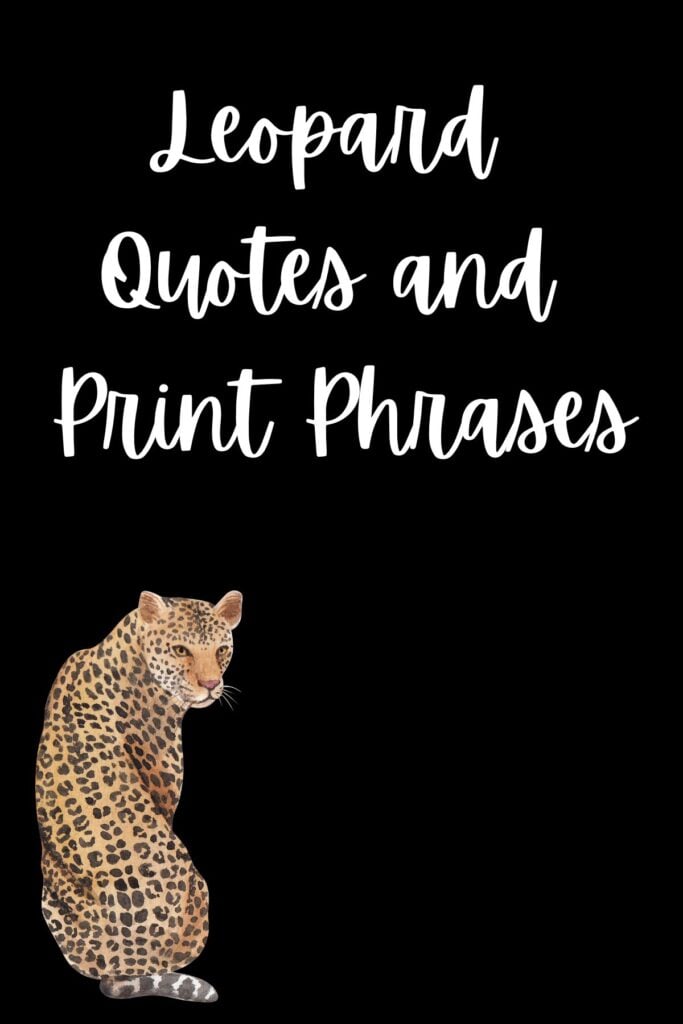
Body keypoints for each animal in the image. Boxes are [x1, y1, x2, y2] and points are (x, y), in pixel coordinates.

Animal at [35, 589, 243, 1003]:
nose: (212, 684)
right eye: (180, 649)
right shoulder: (163, 788)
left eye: (222, 649)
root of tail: (117, 965)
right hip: (199, 887)